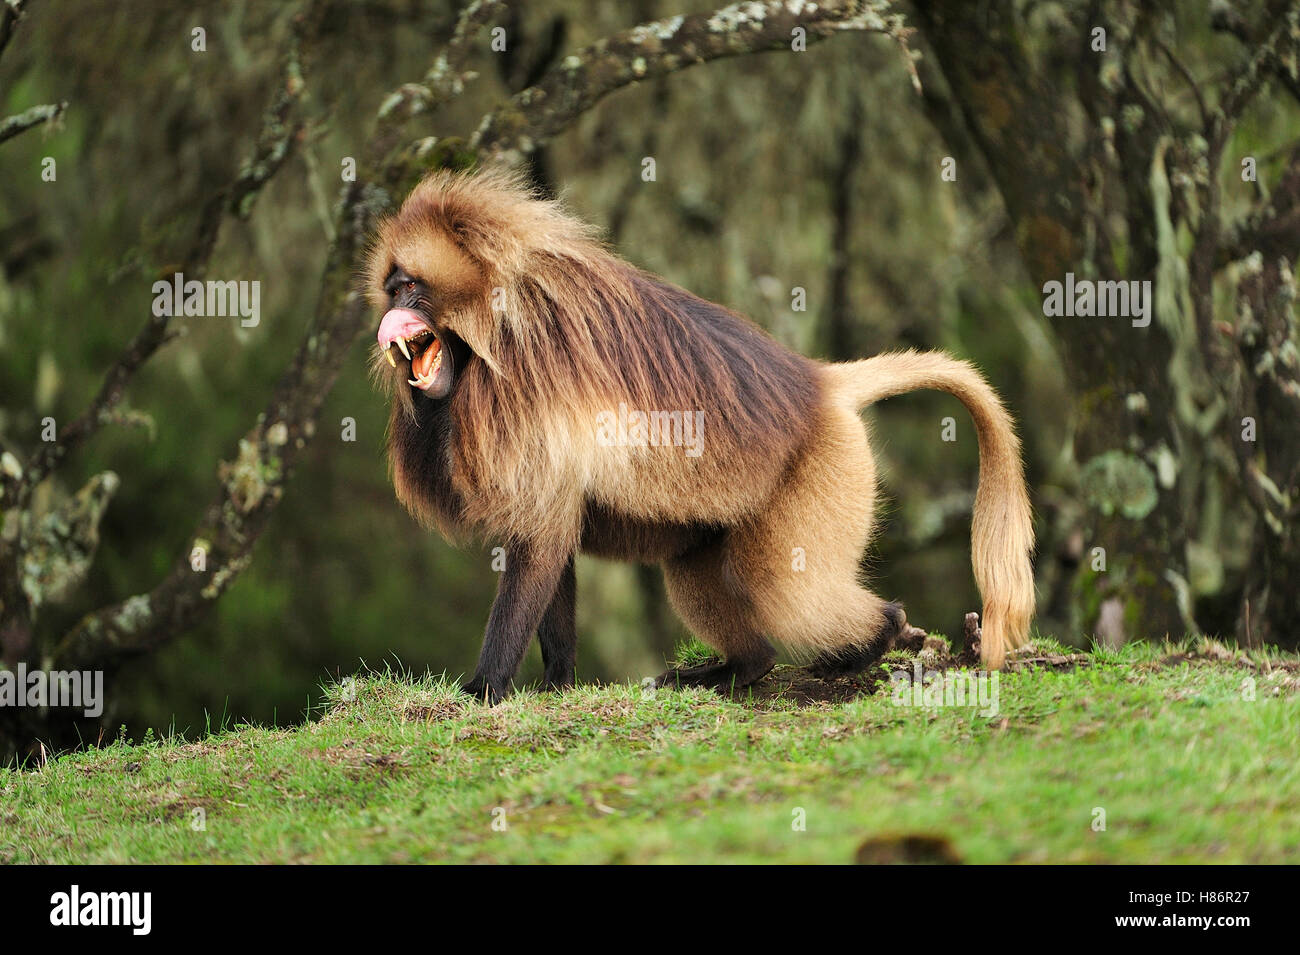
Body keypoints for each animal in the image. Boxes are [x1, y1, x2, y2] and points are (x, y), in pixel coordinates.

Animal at [367, 169, 1035, 703]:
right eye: (393, 287)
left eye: (411, 287)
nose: (389, 315)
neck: (490, 320)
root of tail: (821, 385)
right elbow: (551, 545)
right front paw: (558, 686)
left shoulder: (526, 391)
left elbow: (539, 540)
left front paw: (483, 689)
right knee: (705, 574)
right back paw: (738, 670)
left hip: (825, 471)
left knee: (788, 591)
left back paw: (876, 640)